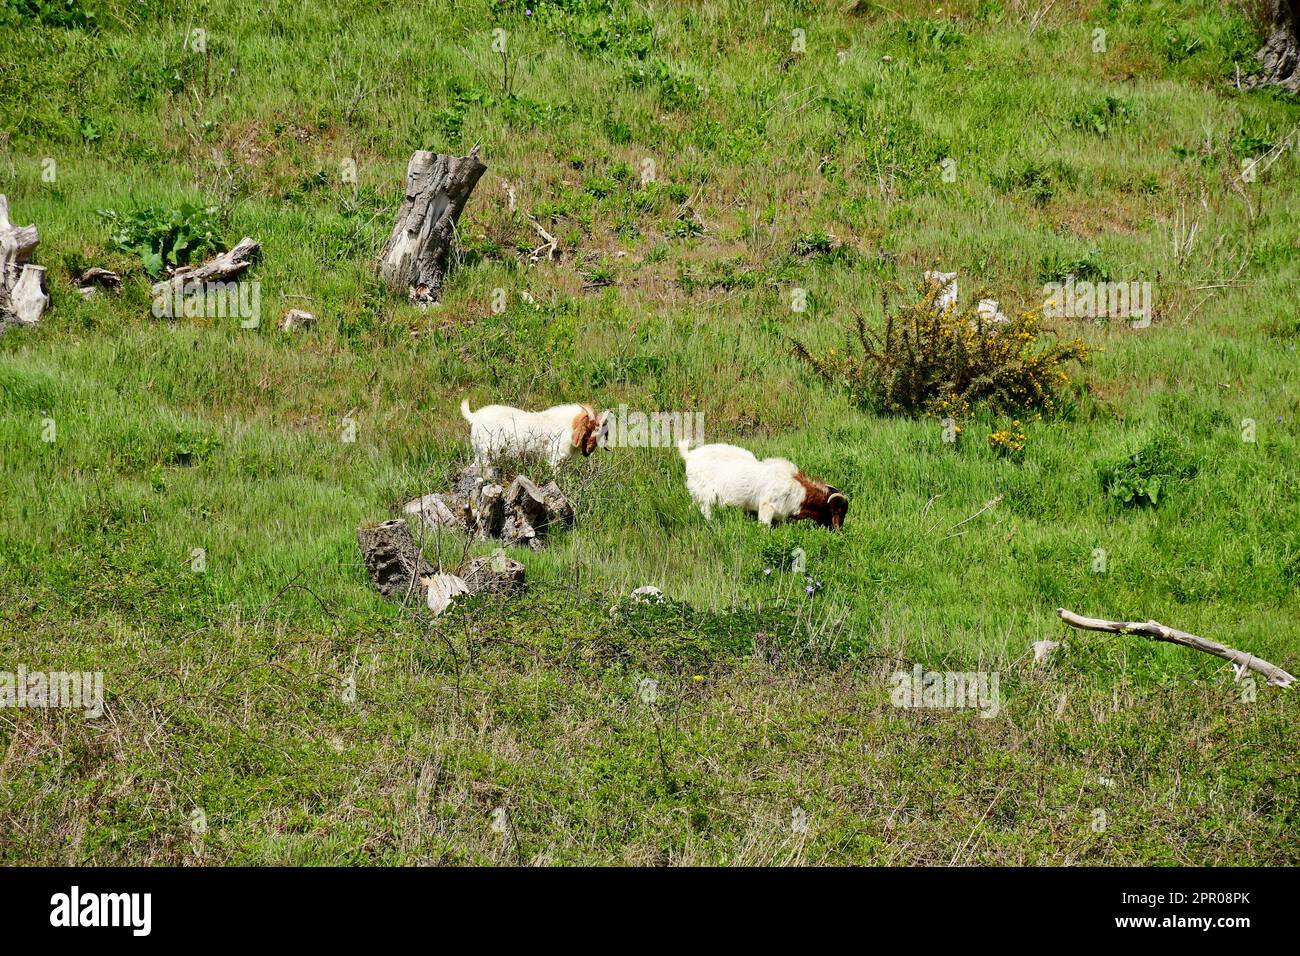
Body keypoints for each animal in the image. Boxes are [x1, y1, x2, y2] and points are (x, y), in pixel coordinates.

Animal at [678, 440, 847, 529]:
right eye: (838, 511)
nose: (838, 531)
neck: (799, 491)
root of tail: (690, 456)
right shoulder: (767, 507)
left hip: (696, 494)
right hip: (706, 494)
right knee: (706, 511)